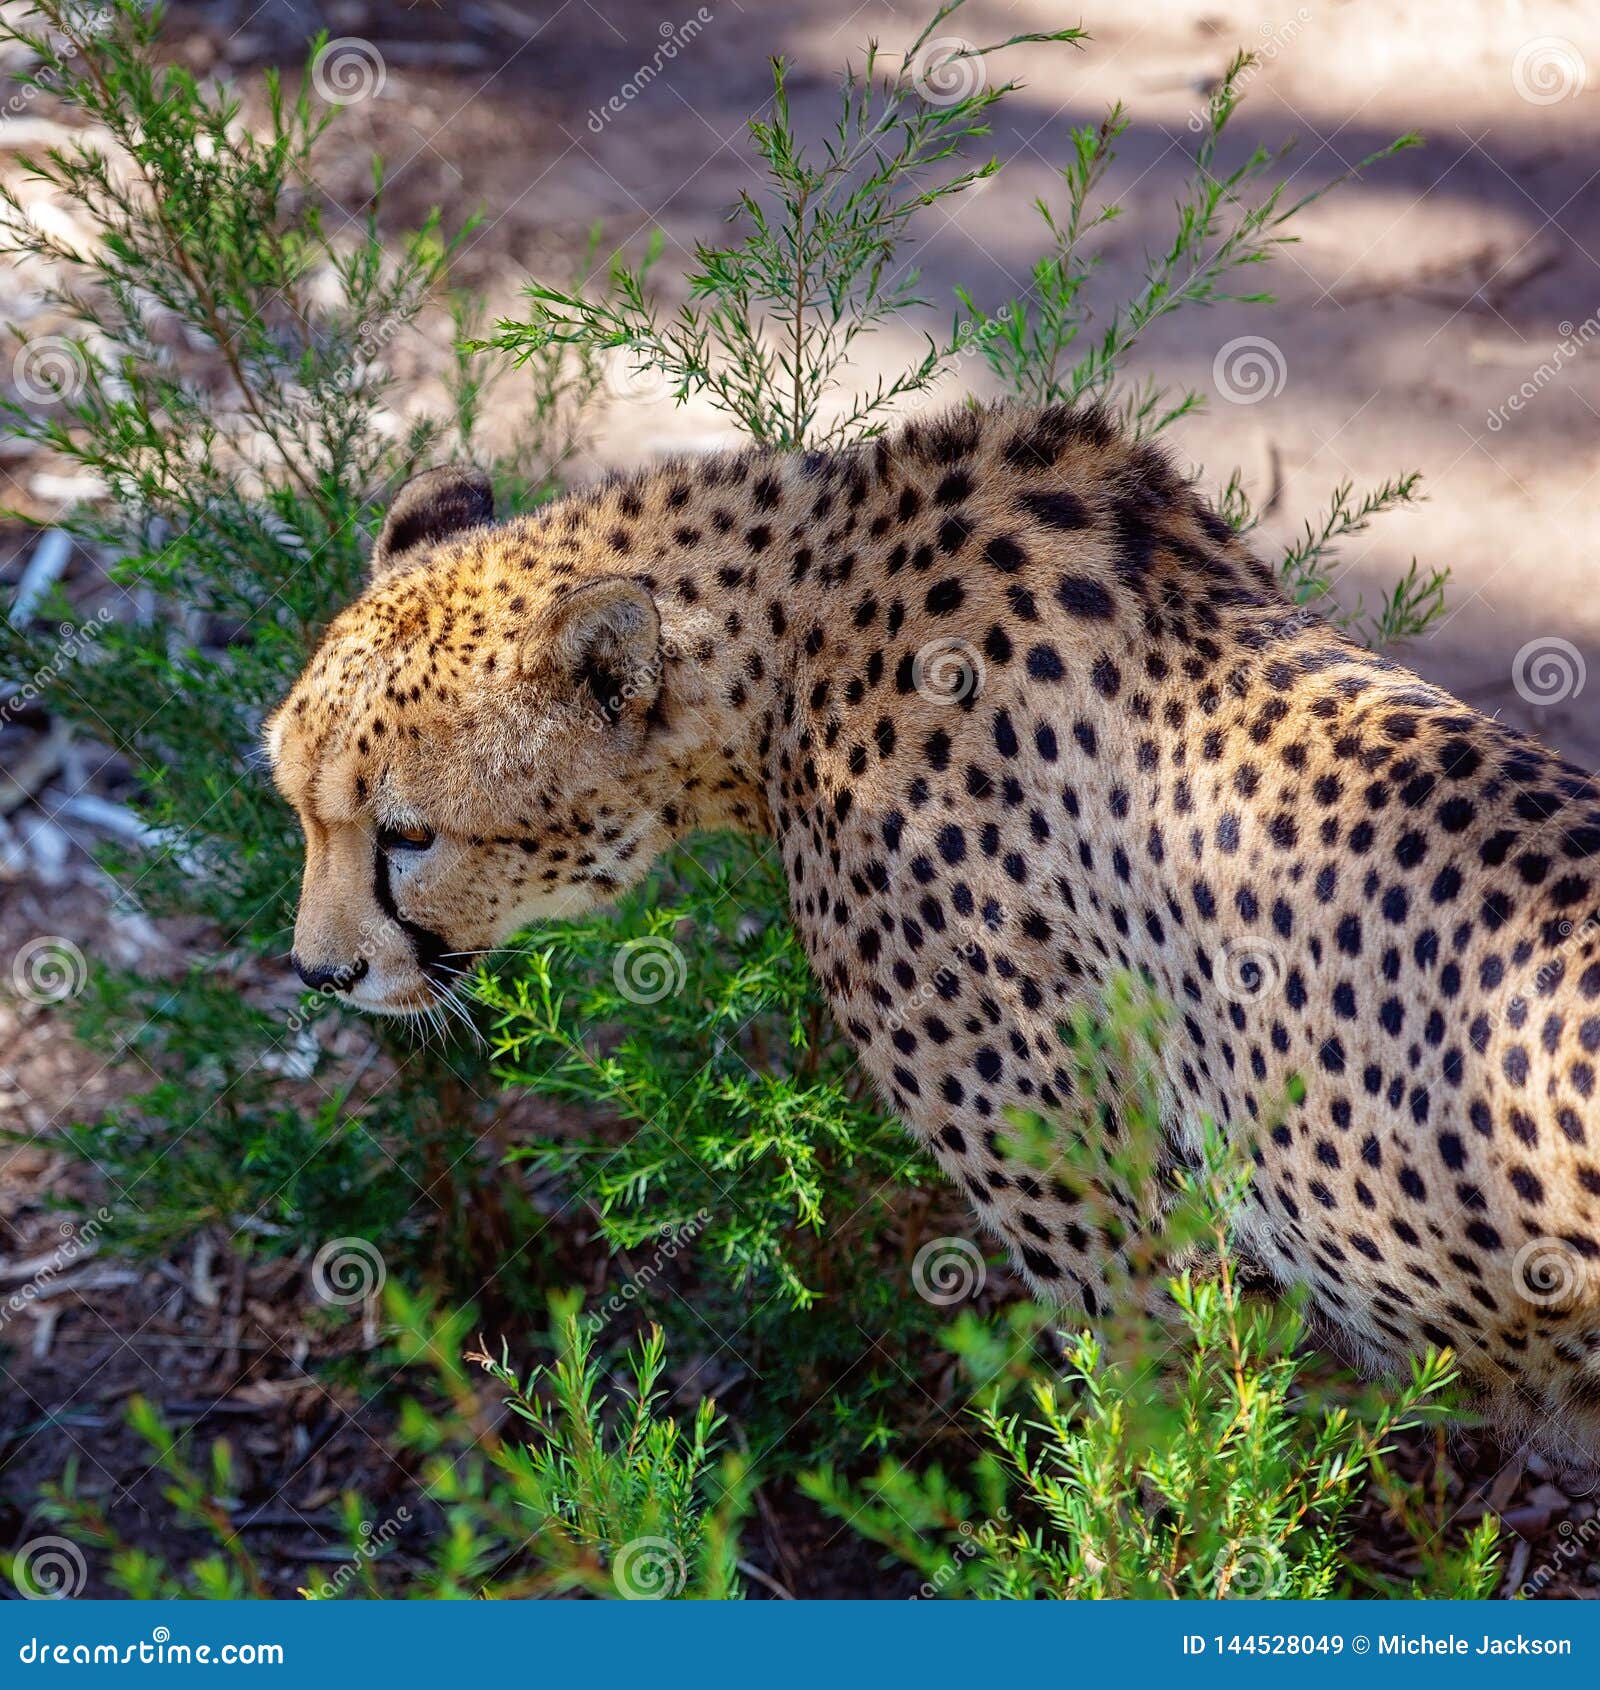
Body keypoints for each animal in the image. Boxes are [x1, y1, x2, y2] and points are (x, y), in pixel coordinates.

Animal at [267, 402, 1600, 1459]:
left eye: (407, 835)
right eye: (294, 802)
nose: (321, 972)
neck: (798, 627)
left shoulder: (1107, 1229)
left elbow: (1148, 1491)